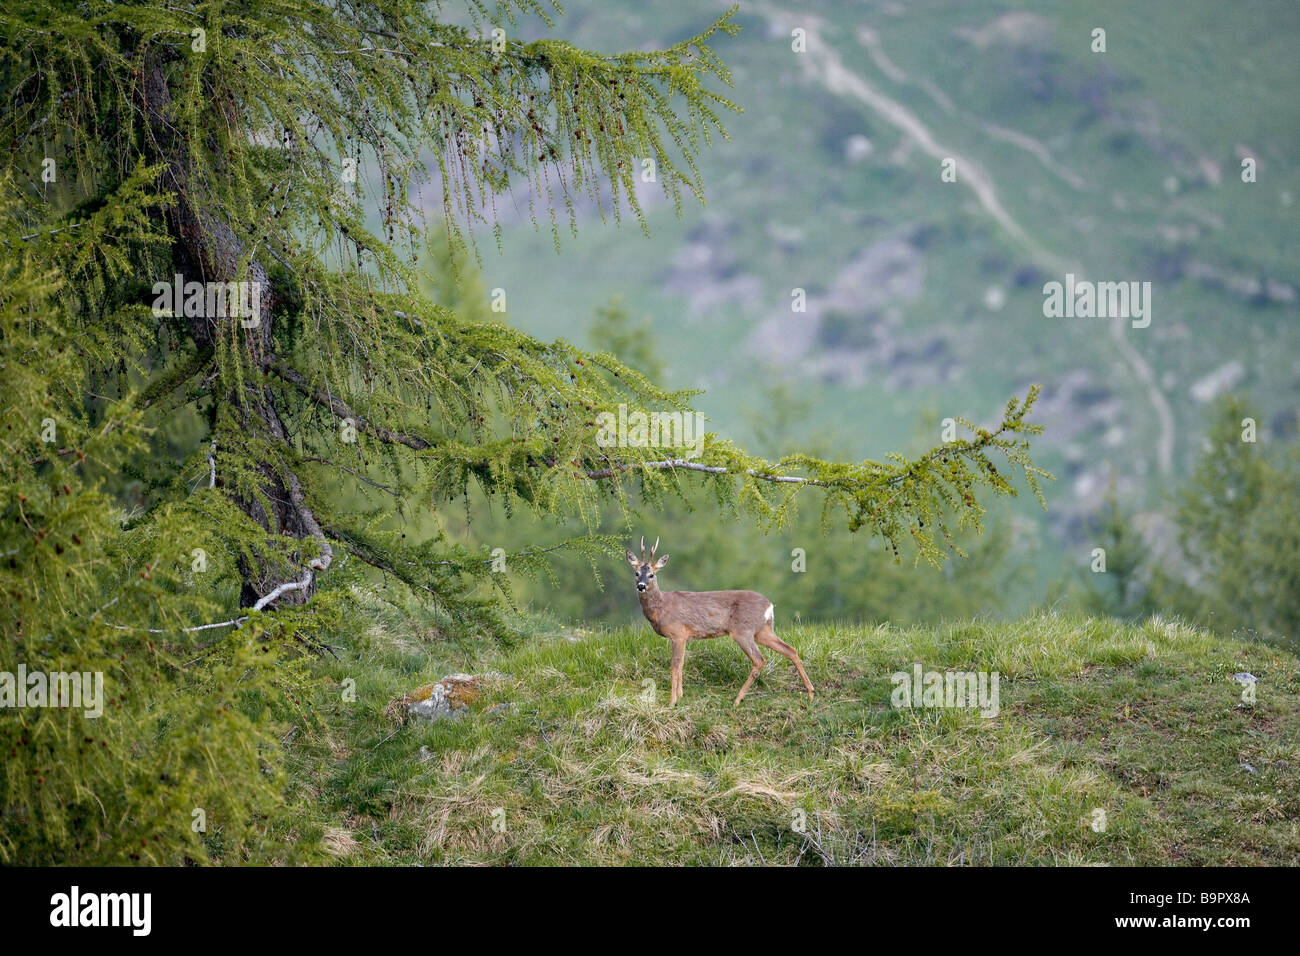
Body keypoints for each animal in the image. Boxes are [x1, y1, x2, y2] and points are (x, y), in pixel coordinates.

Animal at [625, 537, 814, 707]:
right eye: (636, 573)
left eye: (652, 574)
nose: (641, 586)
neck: (661, 608)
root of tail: (770, 606)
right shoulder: (683, 637)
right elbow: (682, 664)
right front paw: (680, 696)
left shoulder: (678, 633)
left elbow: (675, 665)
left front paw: (672, 702)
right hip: (763, 630)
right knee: (790, 650)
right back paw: (811, 693)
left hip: (743, 631)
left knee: (759, 660)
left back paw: (737, 700)